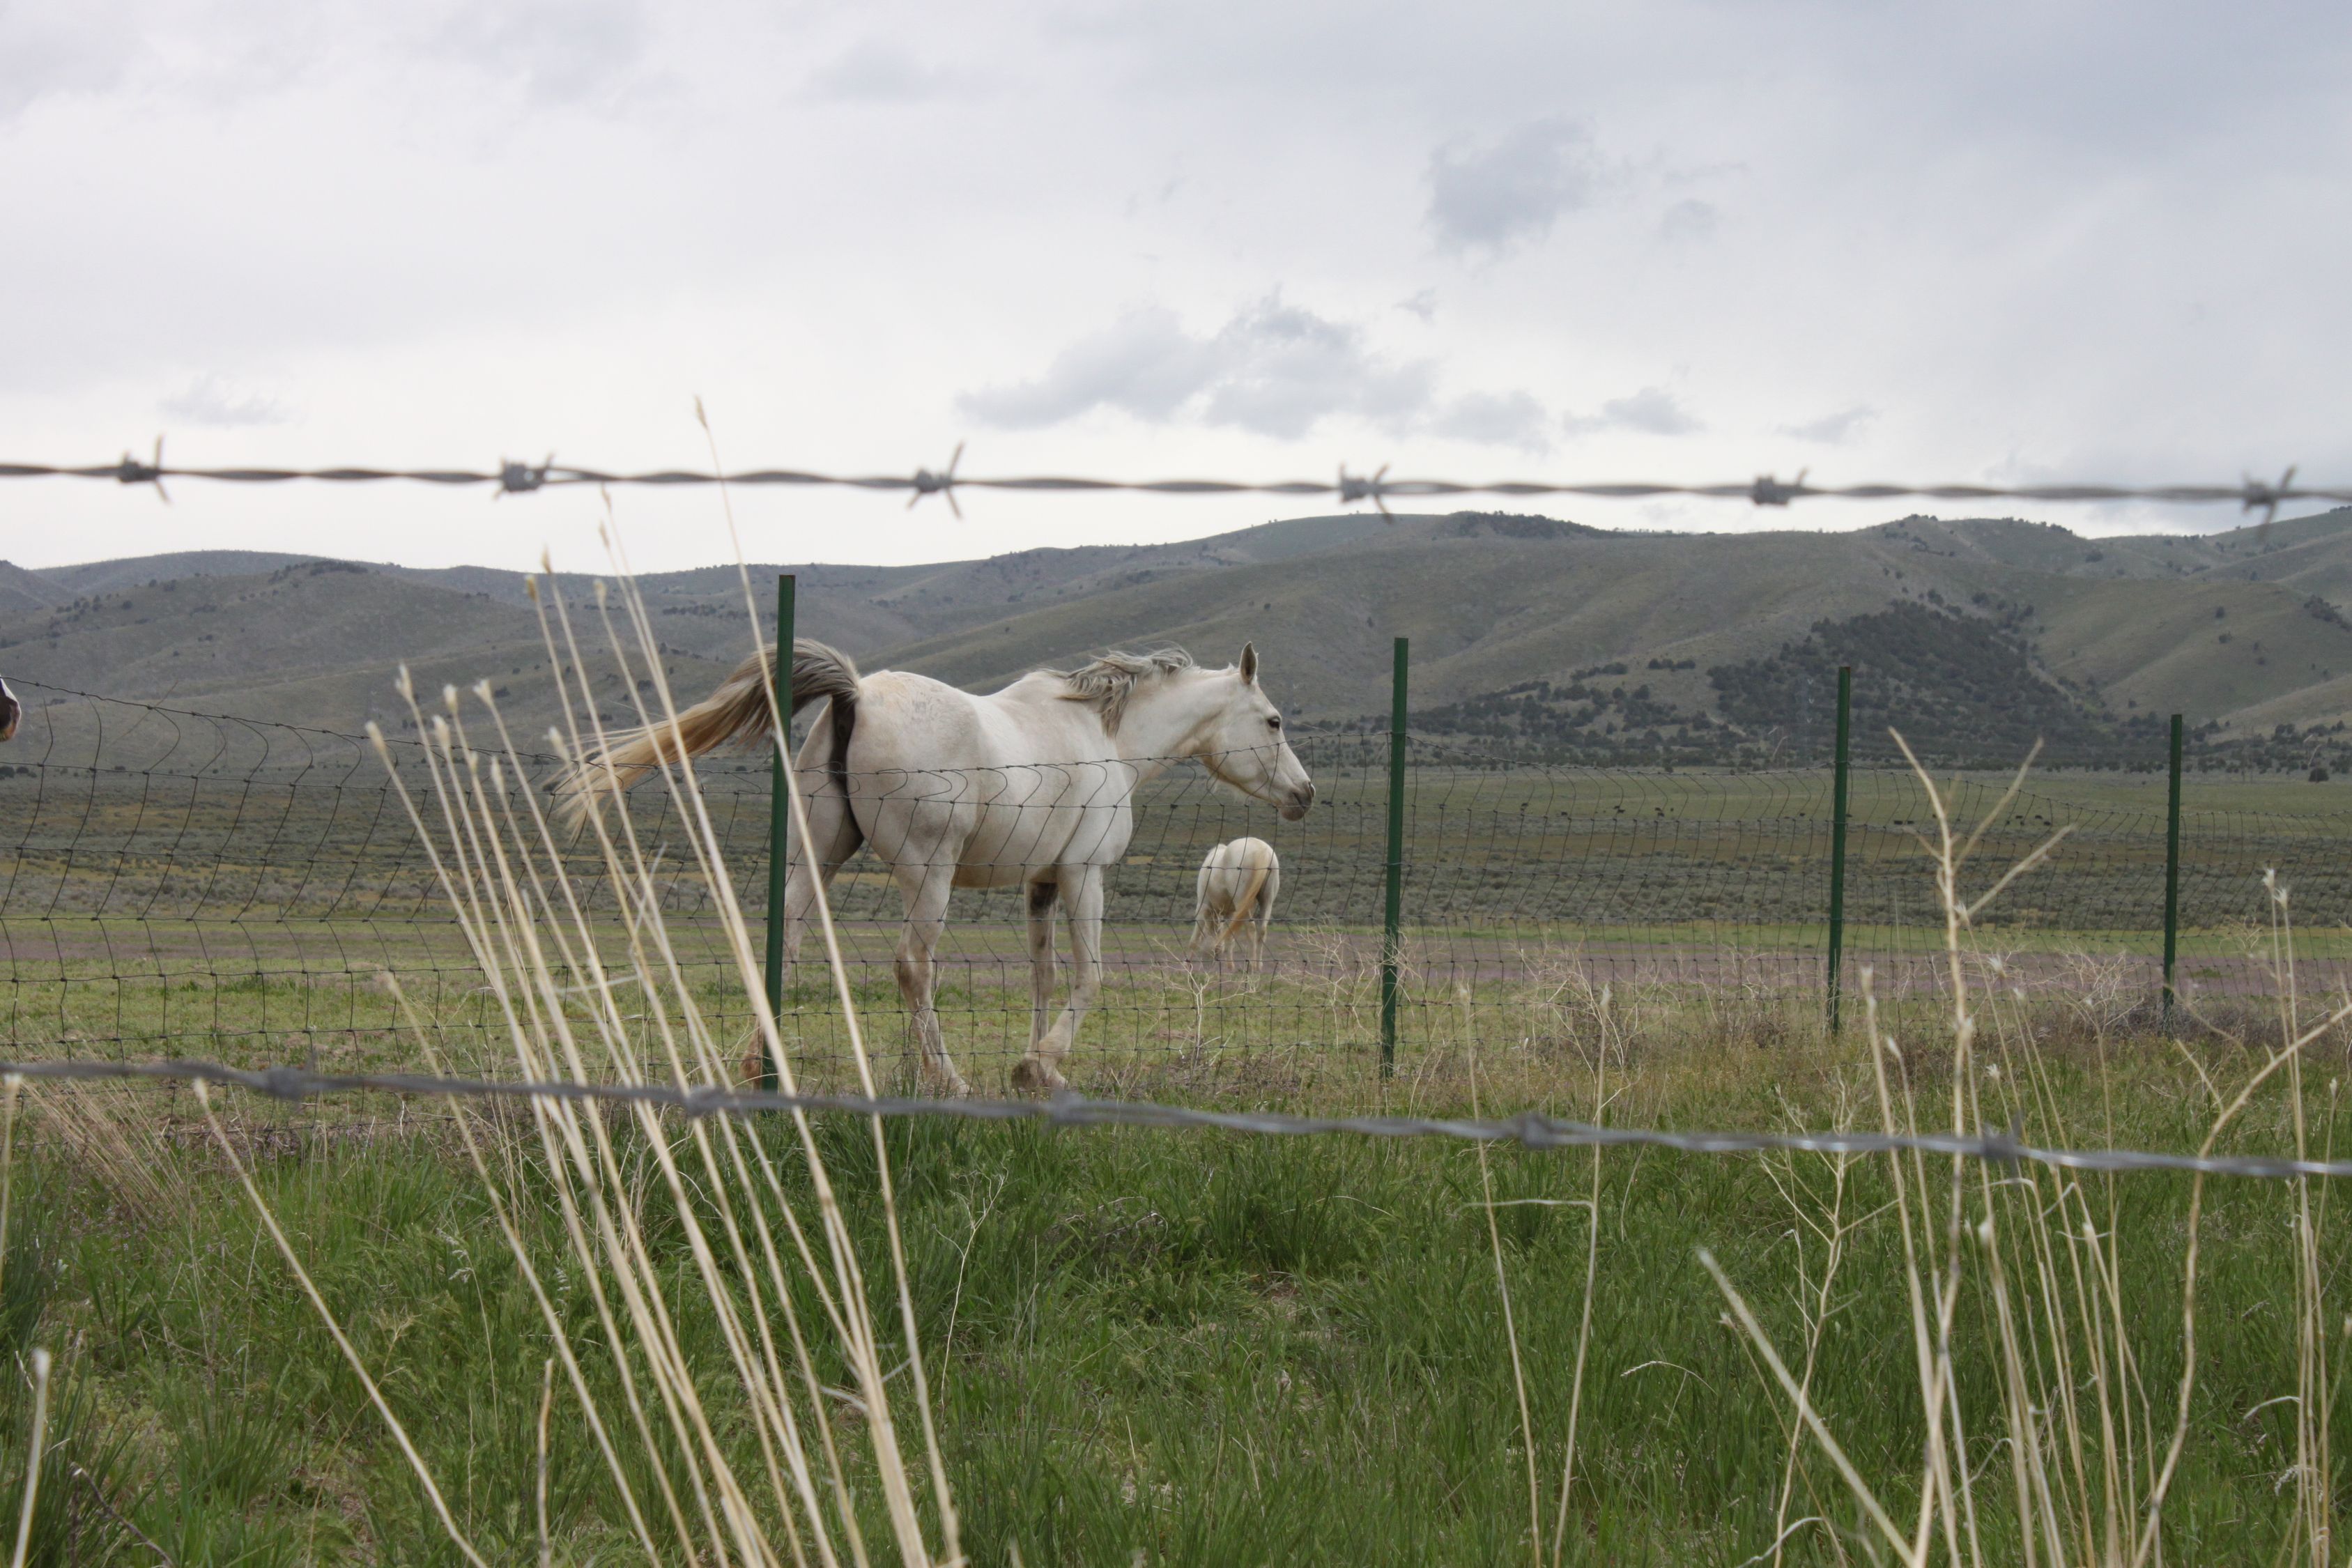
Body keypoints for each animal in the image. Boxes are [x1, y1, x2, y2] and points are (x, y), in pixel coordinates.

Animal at [1191, 838, 1279, 971]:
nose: (1208, 964)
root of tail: (1263, 850)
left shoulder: (1202, 907)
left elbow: (1196, 938)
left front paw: (1188, 964)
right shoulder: (1230, 913)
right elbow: (1229, 937)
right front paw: (1230, 966)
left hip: (1243, 902)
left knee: (1251, 929)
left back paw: (1252, 965)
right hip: (1267, 901)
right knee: (1262, 930)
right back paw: (1259, 966)